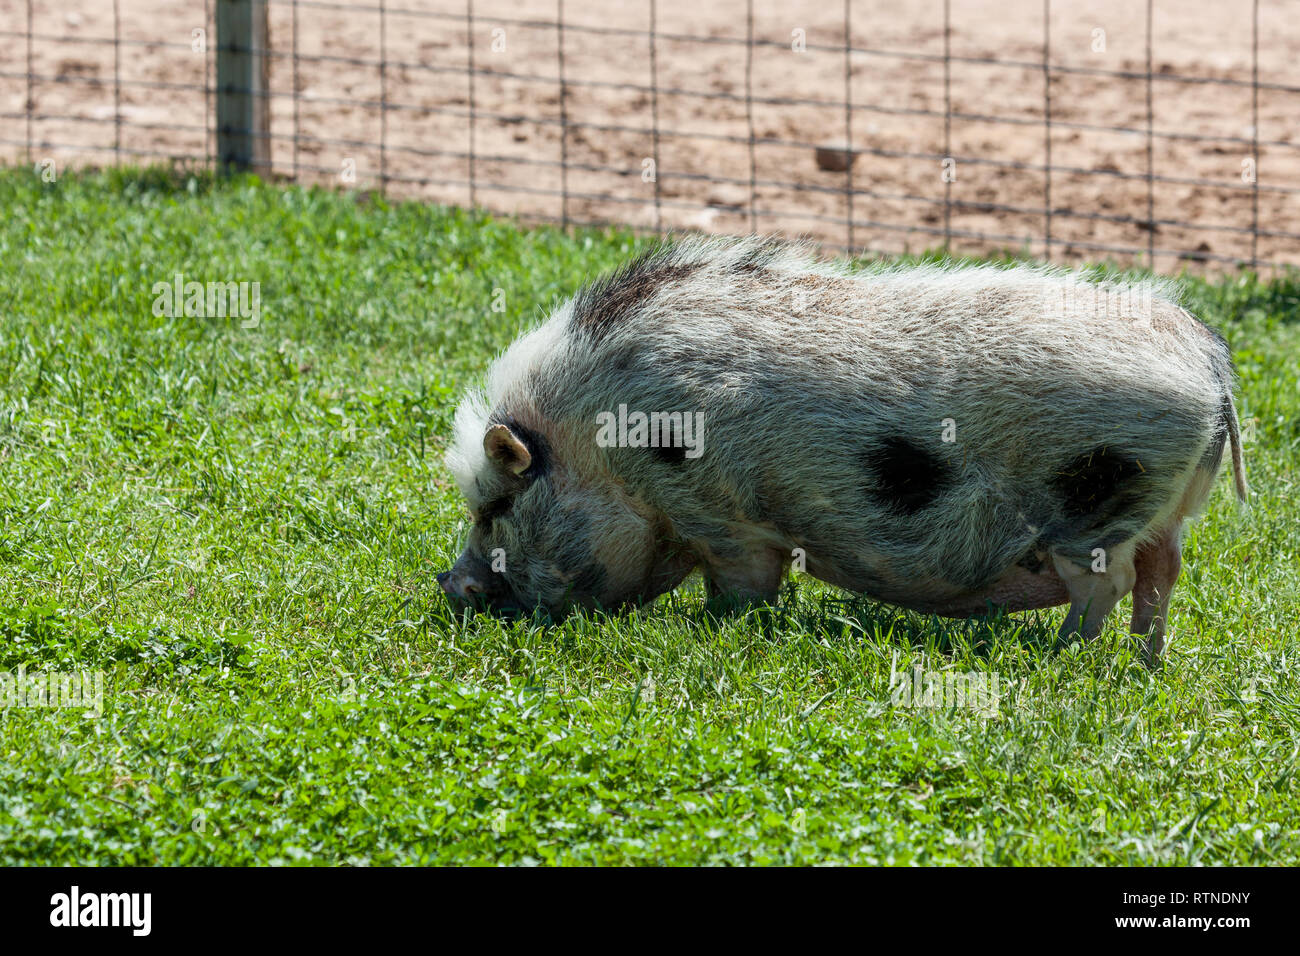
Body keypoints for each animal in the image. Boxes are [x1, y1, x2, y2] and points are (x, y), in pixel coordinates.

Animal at [439, 236, 1247, 662]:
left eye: (496, 505)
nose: (450, 586)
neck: (603, 447)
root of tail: (1208, 360)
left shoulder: (719, 515)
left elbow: (742, 583)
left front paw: (720, 628)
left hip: (1097, 505)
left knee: (1109, 584)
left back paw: (1059, 654)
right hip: (1168, 514)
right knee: (1162, 575)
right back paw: (1142, 660)